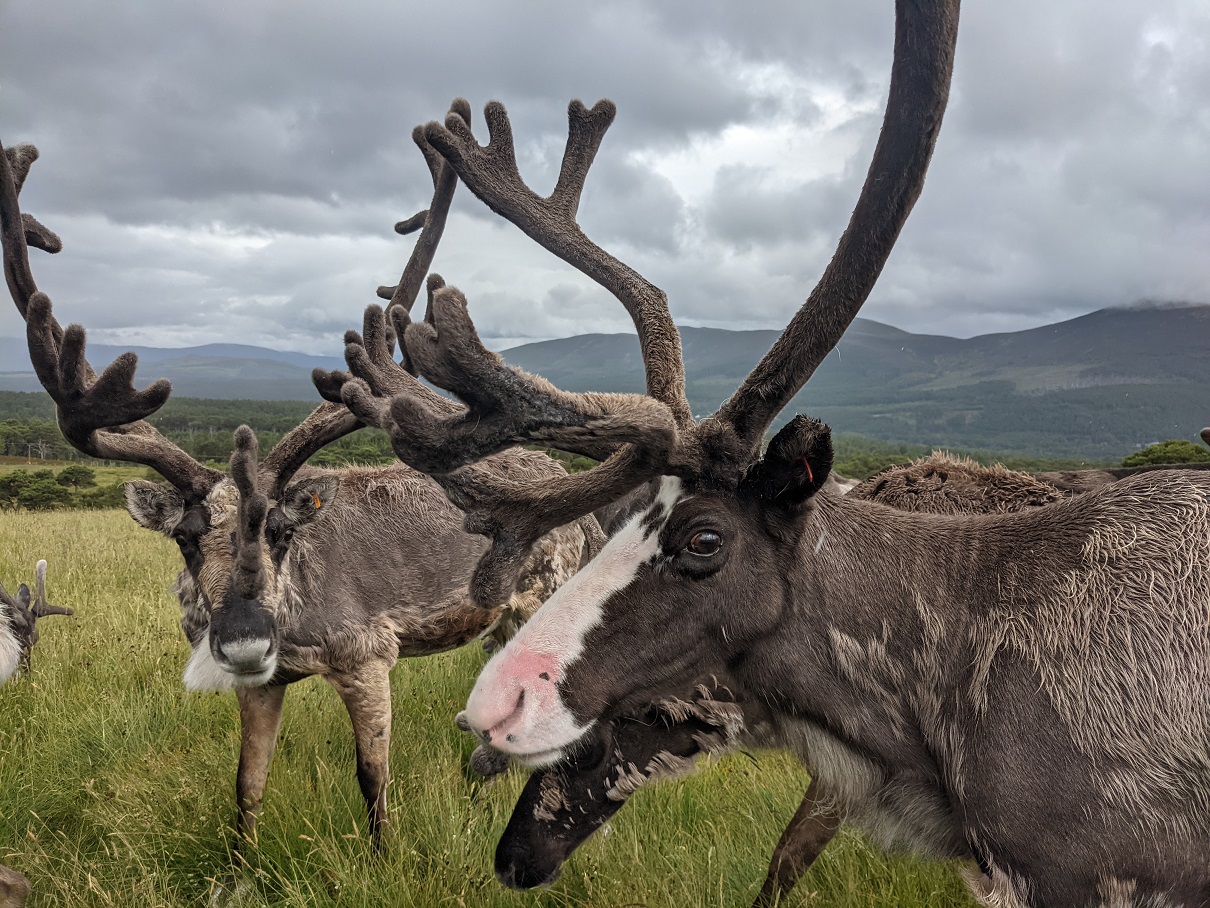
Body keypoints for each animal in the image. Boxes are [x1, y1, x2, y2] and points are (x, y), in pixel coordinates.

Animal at [0, 111, 597, 846]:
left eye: (282, 531)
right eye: (185, 538)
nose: (243, 637)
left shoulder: (369, 659)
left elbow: (373, 780)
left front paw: (384, 854)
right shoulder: (261, 685)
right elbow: (247, 784)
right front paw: (241, 860)